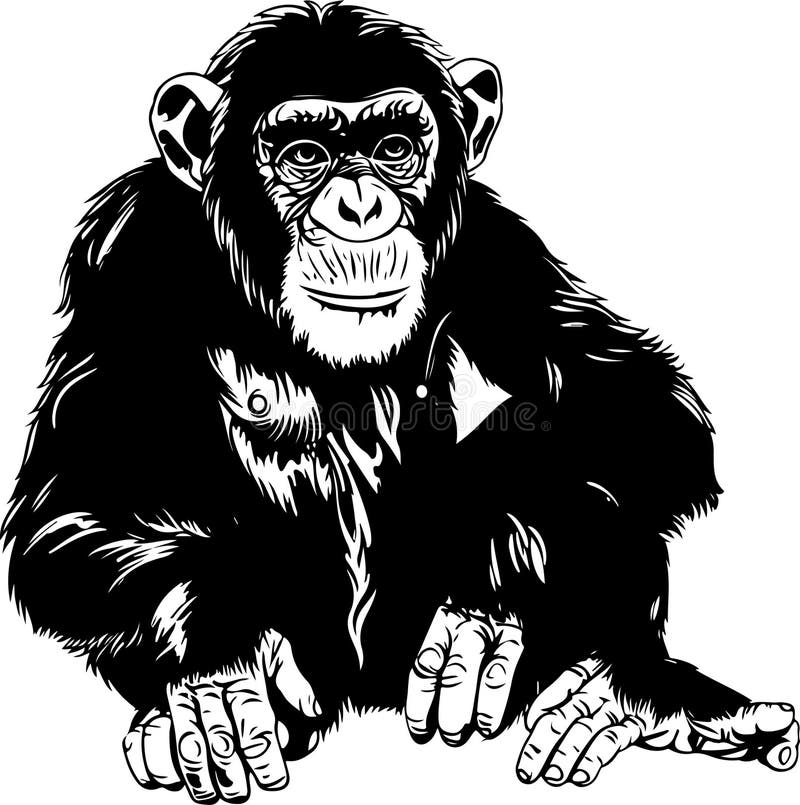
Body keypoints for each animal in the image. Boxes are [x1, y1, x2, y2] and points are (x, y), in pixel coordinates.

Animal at [2, 3, 797, 802]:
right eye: (302, 154)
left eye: (394, 148)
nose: (359, 206)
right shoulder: (124, 258)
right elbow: (73, 509)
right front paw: (222, 662)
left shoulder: (498, 247)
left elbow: (639, 401)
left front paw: (486, 585)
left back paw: (627, 696)